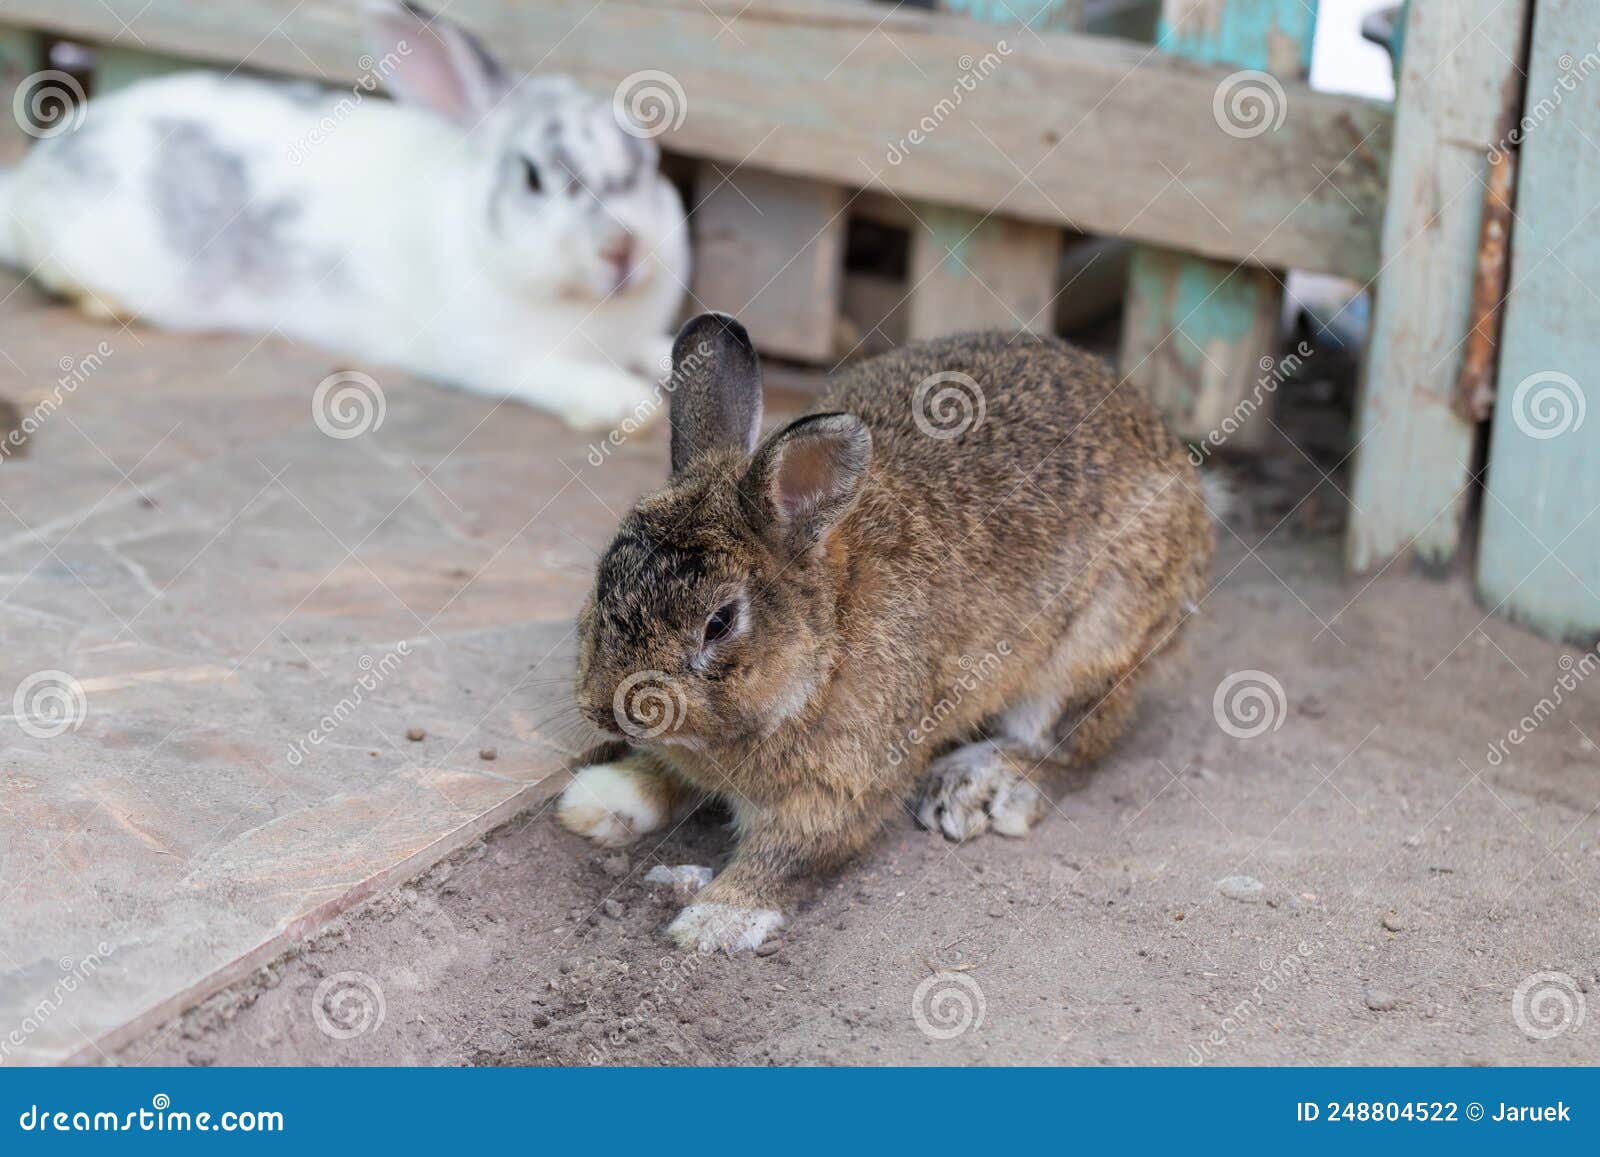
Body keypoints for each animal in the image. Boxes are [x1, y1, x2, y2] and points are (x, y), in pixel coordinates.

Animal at [0, 1, 688, 429]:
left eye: (650, 165)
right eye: (534, 178)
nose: (623, 250)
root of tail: (30, 177)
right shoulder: (494, 356)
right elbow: (557, 375)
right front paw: (627, 406)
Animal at [557, 312, 1214, 952]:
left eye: (720, 622)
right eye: (604, 578)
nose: (607, 708)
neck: (827, 641)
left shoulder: (845, 784)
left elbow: (791, 854)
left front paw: (715, 920)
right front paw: (599, 800)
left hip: (1091, 646)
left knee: (1075, 745)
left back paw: (978, 787)